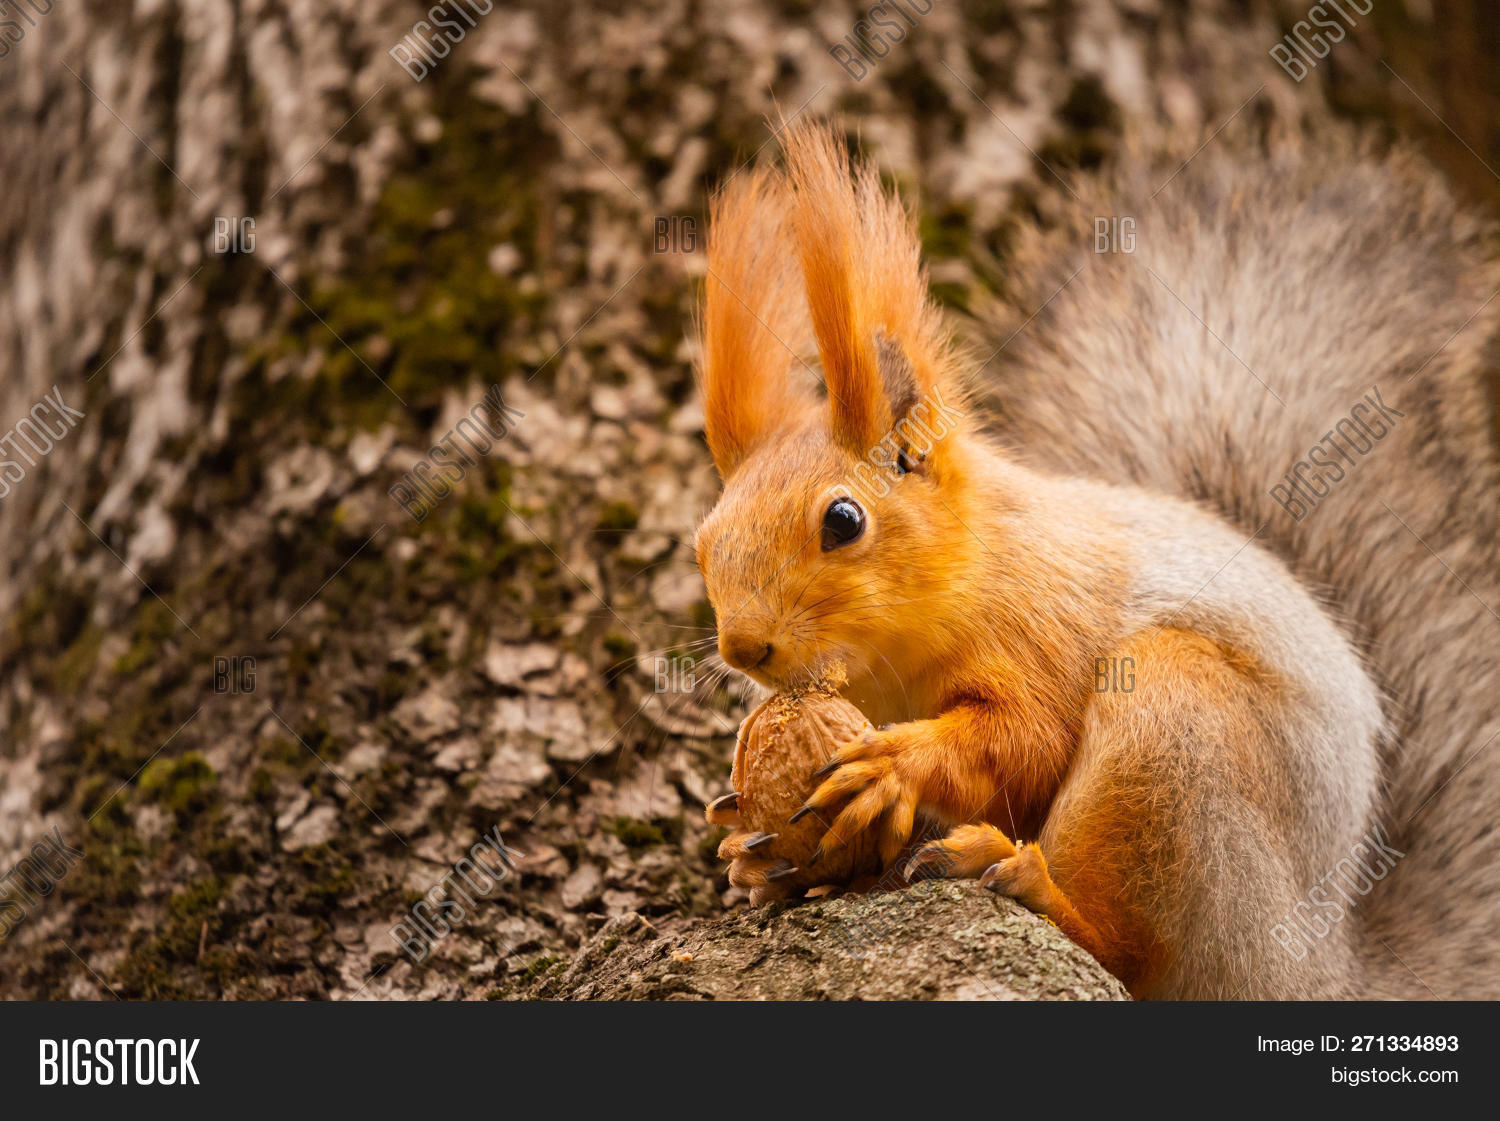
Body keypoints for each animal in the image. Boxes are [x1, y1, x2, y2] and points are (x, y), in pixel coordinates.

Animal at [691, 121, 1500, 1000]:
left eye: (843, 519)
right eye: (702, 540)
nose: (744, 648)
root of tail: (1319, 966)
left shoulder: (1041, 621)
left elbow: (1024, 740)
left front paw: (895, 767)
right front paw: (759, 850)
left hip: (1176, 729)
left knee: (1130, 953)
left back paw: (1035, 886)